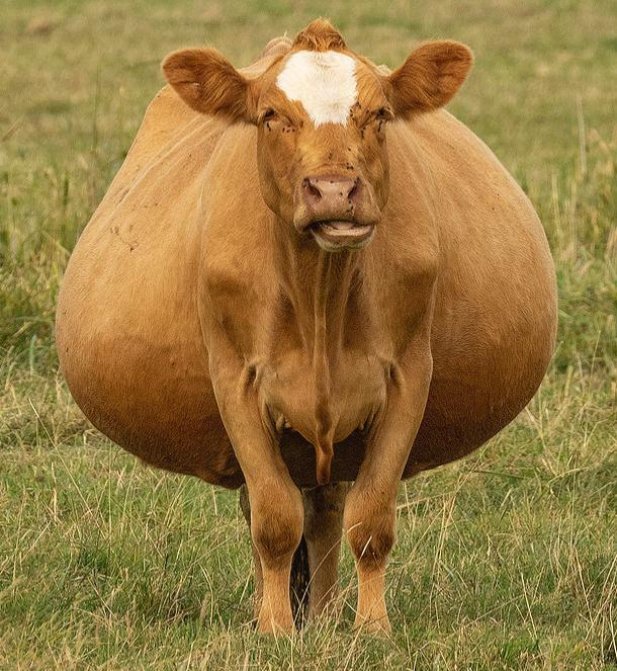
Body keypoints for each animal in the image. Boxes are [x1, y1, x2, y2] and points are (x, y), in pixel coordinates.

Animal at [55, 19, 557, 635]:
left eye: (380, 113)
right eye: (271, 115)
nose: (335, 190)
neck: (321, 298)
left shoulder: (408, 376)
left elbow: (370, 520)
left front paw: (371, 630)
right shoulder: (236, 381)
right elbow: (273, 520)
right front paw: (273, 630)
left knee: (326, 511)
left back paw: (324, 615)